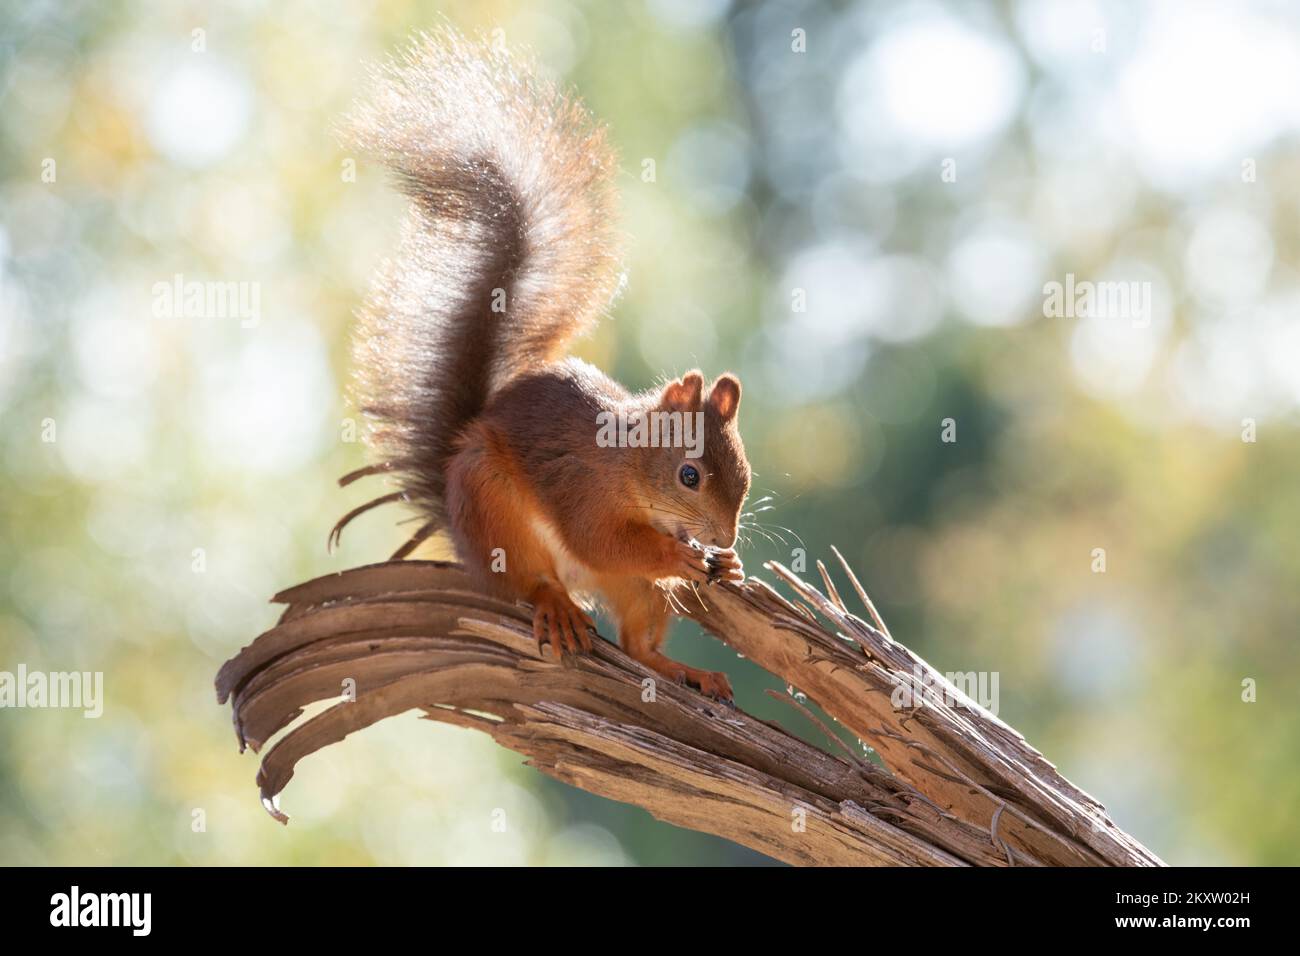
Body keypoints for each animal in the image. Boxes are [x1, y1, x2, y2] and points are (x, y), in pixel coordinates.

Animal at [334, 29, 751, 702]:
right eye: (689, 475)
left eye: (746, 474)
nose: (722, 540)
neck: (628, 464)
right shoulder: (581, 487)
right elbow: (602, 539)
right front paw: (680, 557)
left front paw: (727, 566)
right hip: (497, 512)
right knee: (533, 583)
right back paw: (555, 605)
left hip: (630, 592)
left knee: (639, 642)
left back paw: (685, 670)